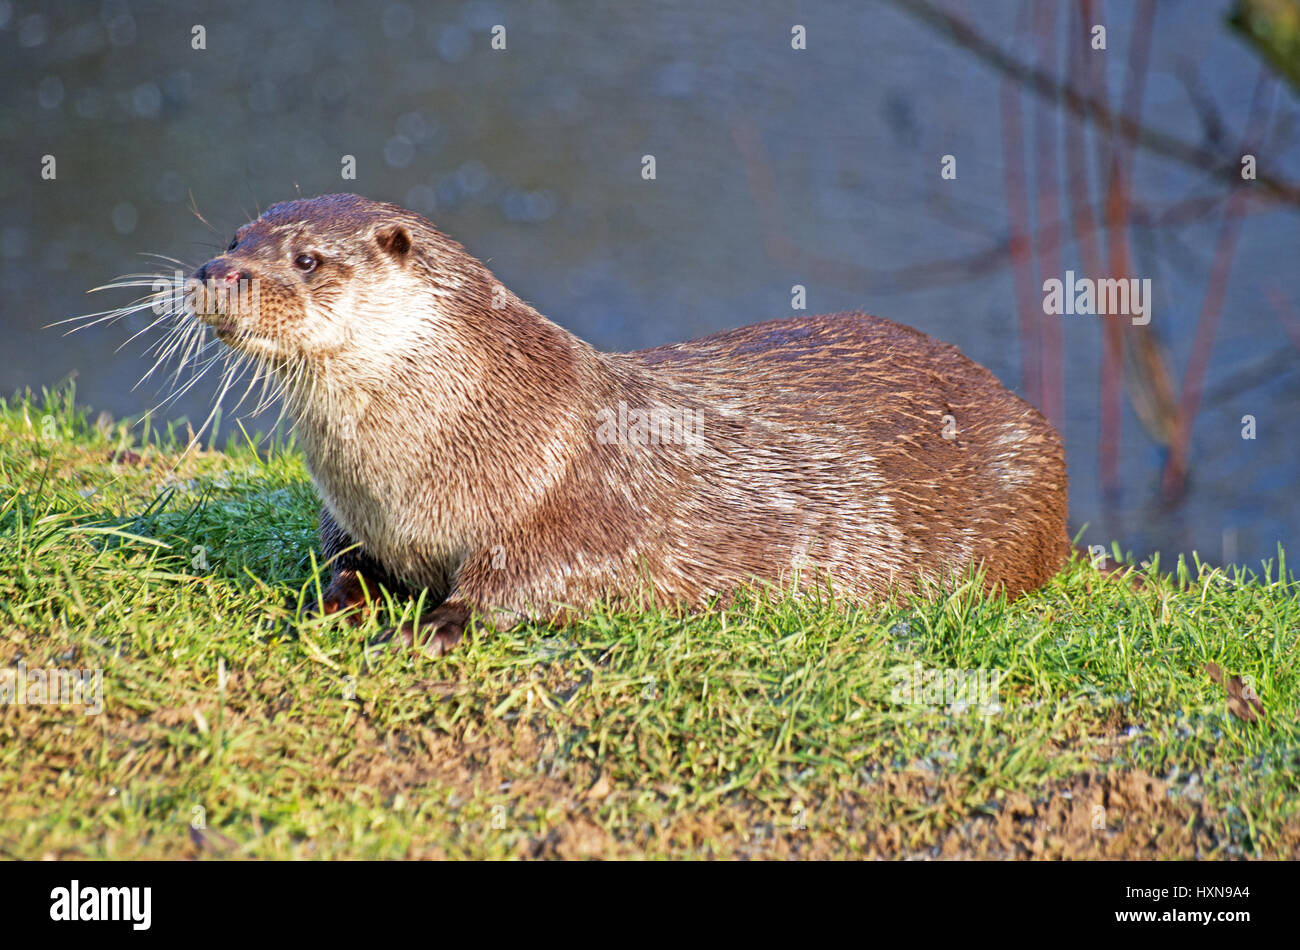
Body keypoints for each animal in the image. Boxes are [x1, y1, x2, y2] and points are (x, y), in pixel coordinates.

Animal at [186, 193, 1068, 654]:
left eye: (305, 258)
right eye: (234, 236)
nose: (216, 272)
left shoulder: (588, 507)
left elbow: (540, 582)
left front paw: (435, 625)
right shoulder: (351, 517)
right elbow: (345, 560)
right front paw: (334, 600)